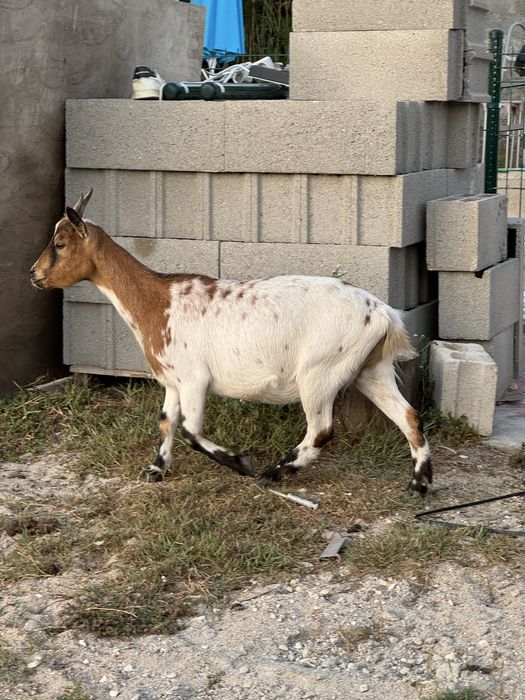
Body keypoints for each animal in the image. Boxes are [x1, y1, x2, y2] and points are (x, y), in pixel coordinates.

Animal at [31, 189, 432, 493]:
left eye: (60, 243)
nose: (34, 274)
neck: (158, 302)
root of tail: (382, 313)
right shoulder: (173, 381)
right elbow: (166, 422)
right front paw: (156, 469)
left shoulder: (194, 379)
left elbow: (191, 431)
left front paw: (240, 462)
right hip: (371, 369)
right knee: (408, 416)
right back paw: (419, 482)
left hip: (320, 370)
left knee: (321, 429)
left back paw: (275, 472)